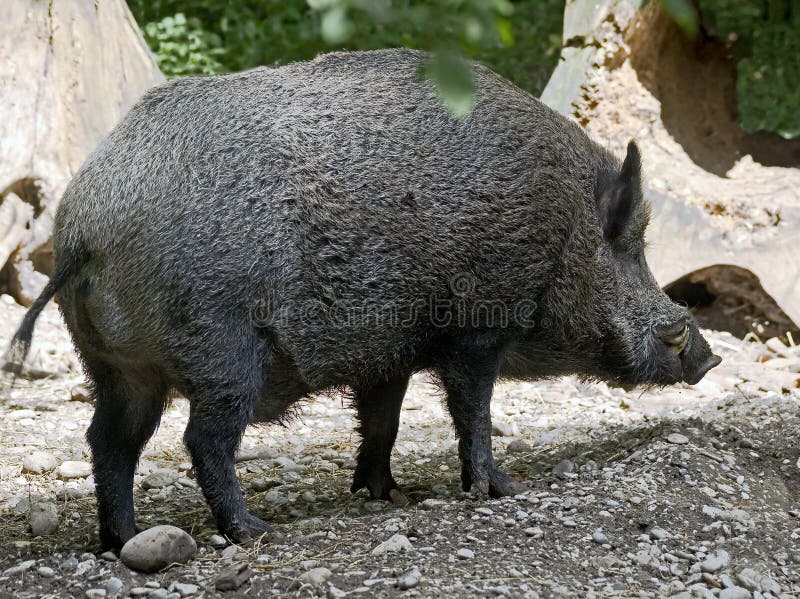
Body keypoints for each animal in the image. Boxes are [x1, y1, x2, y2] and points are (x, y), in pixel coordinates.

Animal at [6, 48, 720, 550]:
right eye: (631, 244)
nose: (709, 357)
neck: (561, 224)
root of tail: (84, 227)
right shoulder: (477, 327)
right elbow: (474, 412)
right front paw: (500, 489)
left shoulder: (388, 352)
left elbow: (384, 421)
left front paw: (386, 495)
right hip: (220, 347)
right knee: (201, 438)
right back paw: (254, 532)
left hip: (120, 368)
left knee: (109, 440)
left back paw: (124, 540)